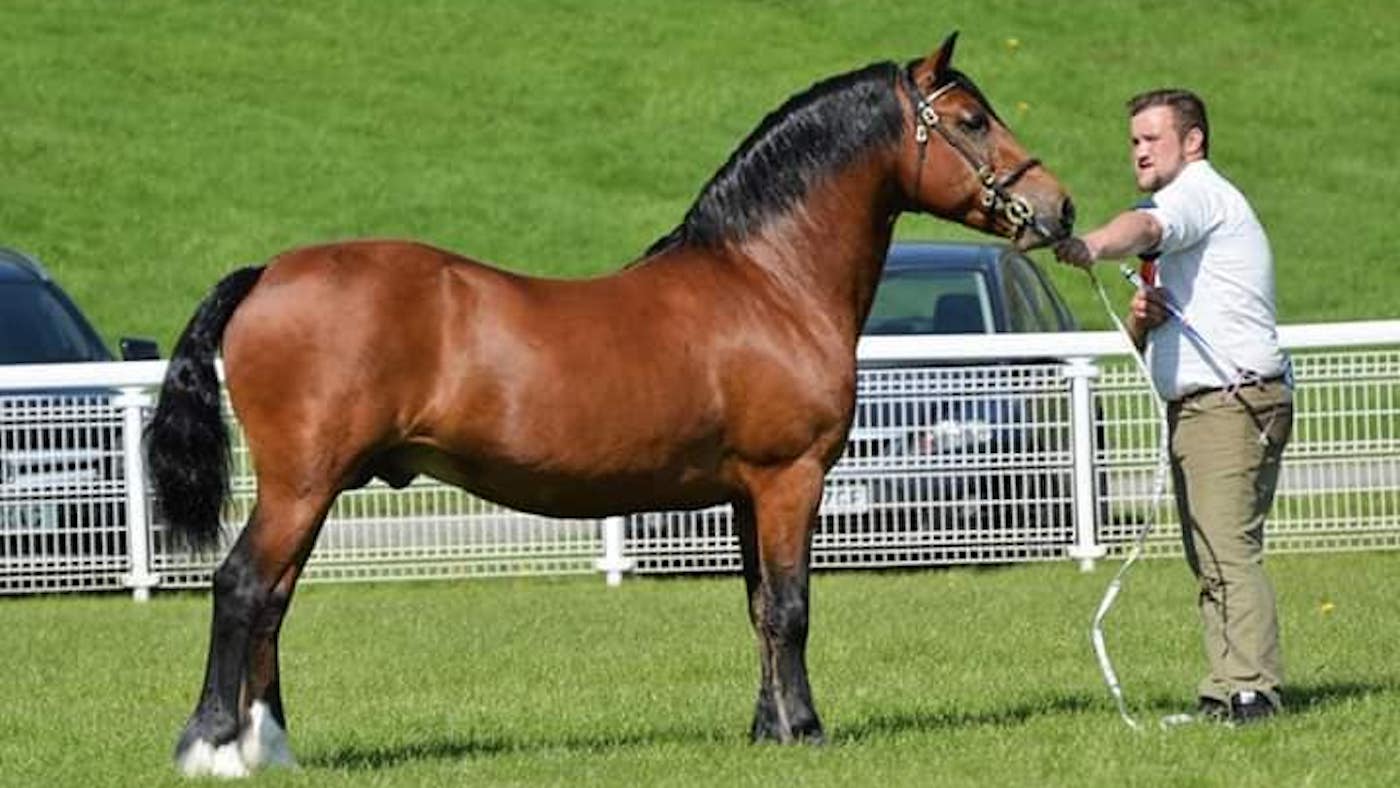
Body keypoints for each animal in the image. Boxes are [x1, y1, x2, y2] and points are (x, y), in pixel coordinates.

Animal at [147, 32, 1073, 777]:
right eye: (972, 121)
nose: (1058, 208)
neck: (768, 281)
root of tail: (269, 272)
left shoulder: (747, 494)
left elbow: (756, 609)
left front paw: (765, 731)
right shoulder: (790, 479)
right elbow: (791, 608)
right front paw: (807, 731)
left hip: (312, 489)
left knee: (272, 600)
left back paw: (271, 748)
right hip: (302, 485)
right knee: (241, 587)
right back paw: (212, 748)